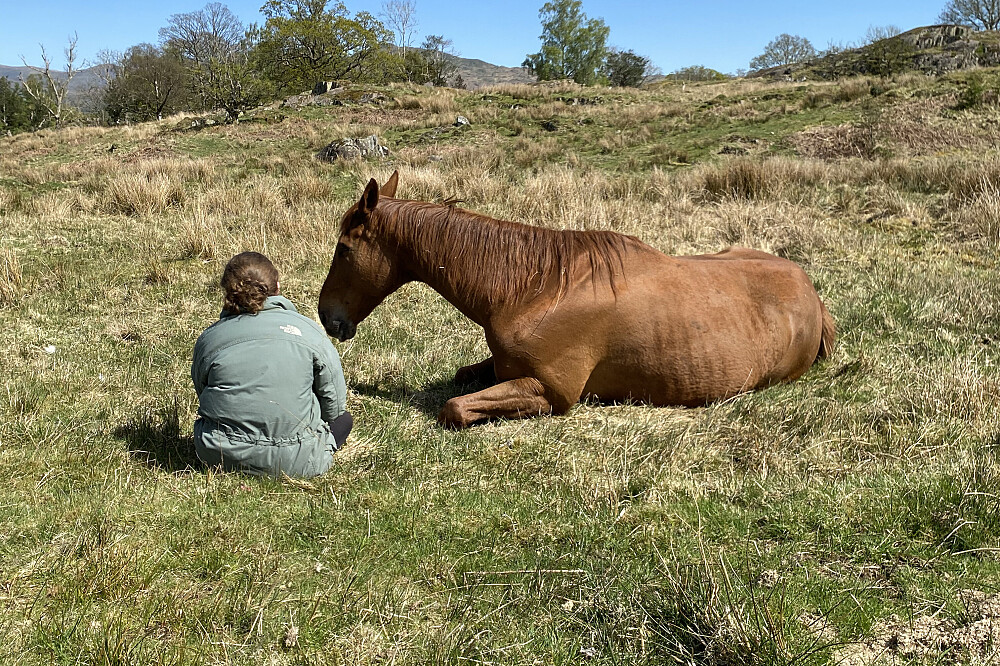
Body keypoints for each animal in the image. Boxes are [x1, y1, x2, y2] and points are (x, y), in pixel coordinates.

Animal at [318, 171, 836, 429]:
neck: (534, 289)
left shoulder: (552, 392)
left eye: (343, 249)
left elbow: (454, 407)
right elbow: (462, 377)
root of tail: (812, 293)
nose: (328, 317)